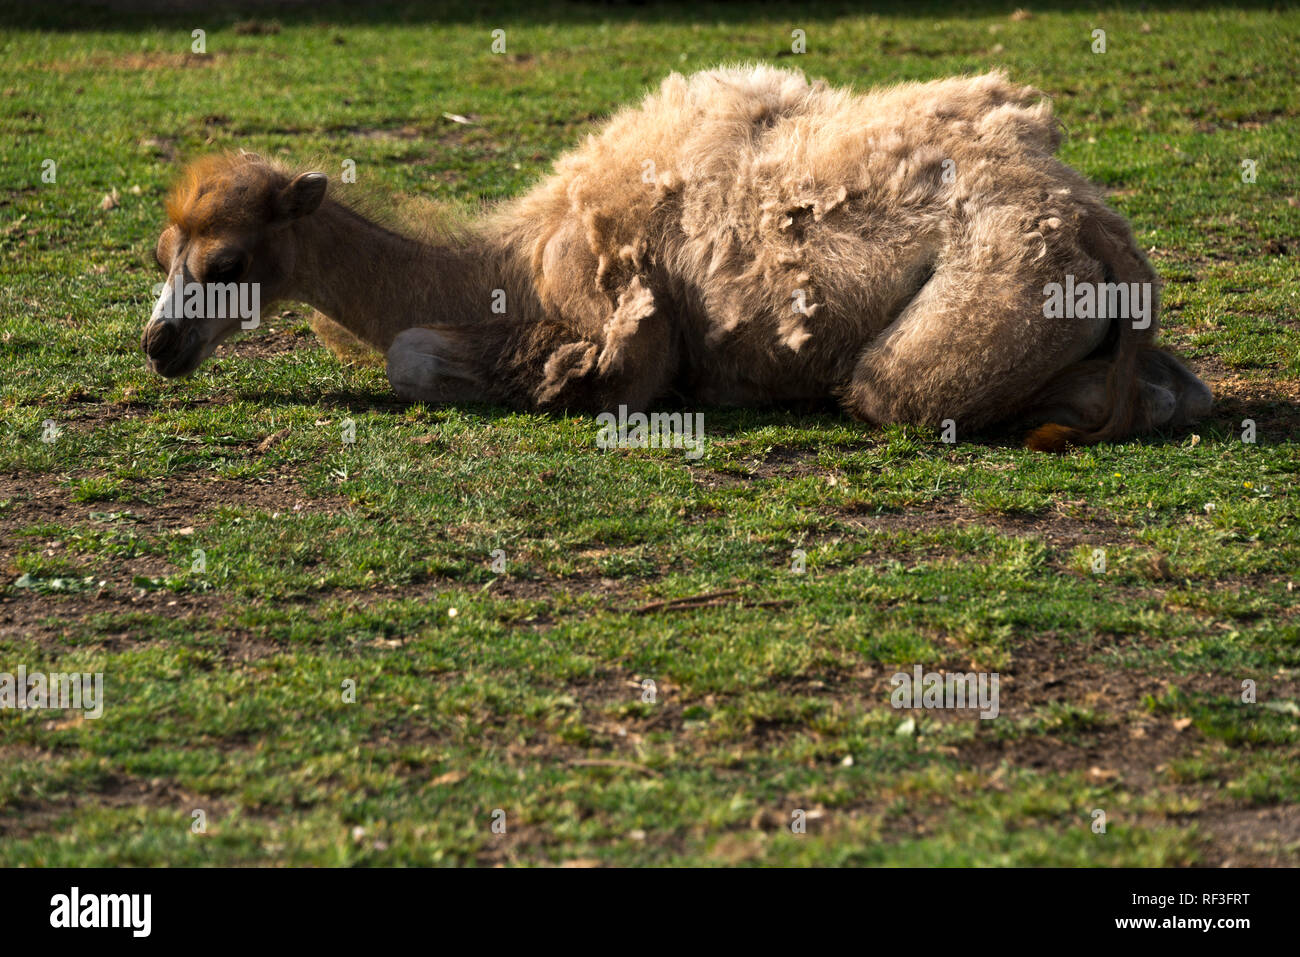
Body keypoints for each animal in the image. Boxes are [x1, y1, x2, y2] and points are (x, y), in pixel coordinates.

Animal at [143, 65, 1212, 448]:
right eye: (163, 251)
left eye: (226, 265)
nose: (159, 344)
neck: (511, 261)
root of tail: (1099, 231)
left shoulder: (625, 327)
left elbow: (416, 354)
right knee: (1177, 388)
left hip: (978, 310)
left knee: (894, 390)